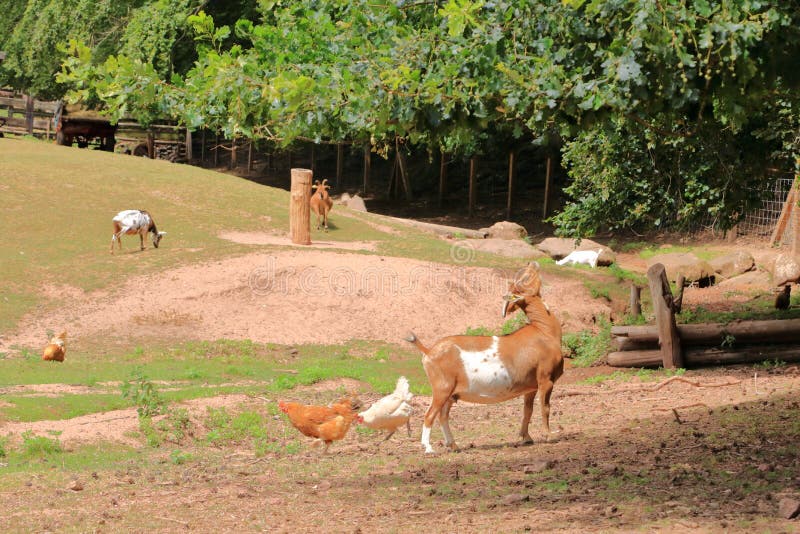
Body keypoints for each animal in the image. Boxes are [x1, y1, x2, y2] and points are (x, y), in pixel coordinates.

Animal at [406, 261, 563, 453]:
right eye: (525, 280)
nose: (533, 263)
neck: (543, 330)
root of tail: (429, 351)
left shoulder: (531, 386)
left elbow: (528, 411)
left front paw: (526, 438)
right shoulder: (545, 379)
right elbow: (545, 408)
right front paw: (550, 436)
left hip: (451, 393)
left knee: (443, 415)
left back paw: (454, 445)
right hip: (442, 388)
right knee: (430, 415)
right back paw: (428, 448)